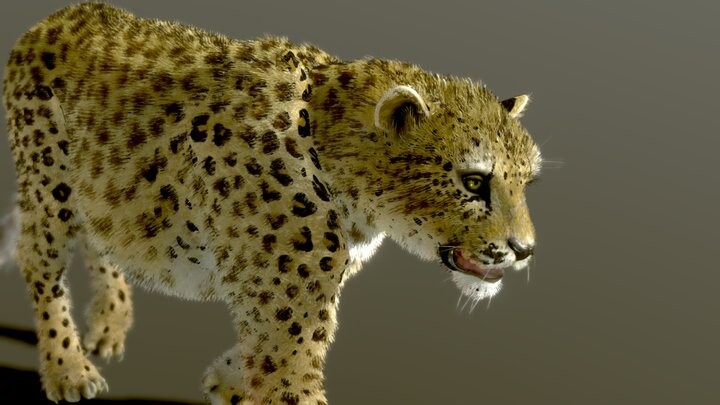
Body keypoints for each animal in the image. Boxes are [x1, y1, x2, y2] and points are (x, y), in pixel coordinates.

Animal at [0, 3, 541, 404]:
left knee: (100, 240)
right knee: (40, 259)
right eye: (474, 182)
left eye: (527, 183)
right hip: (50, 184)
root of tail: (58, 15)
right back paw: (69, 369)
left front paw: (227, 378)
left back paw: (110, 325)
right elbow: (289, 374)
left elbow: (261, 345)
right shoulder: (289, 311)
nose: (525, 249)